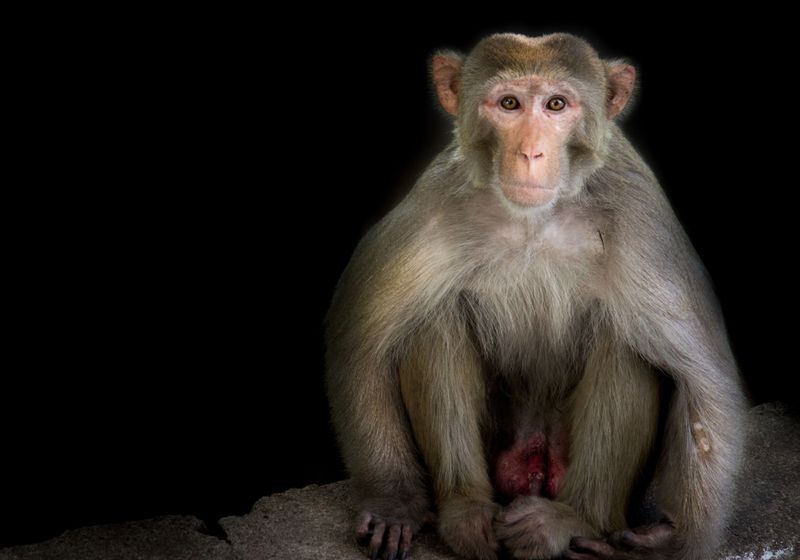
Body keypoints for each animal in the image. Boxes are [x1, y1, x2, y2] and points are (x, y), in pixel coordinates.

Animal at [325, 33, 745, 560]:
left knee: (628, 340)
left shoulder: (641, 222)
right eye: (509, 104)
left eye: (556, 105)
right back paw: (466, 509)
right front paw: (393, 503)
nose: (530, 153)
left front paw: (670, 543)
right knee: (435, 319)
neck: (534, 221)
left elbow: (707, 387)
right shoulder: (433, 206)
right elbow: (360, 348)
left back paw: (573, 519)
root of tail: (534, 460)